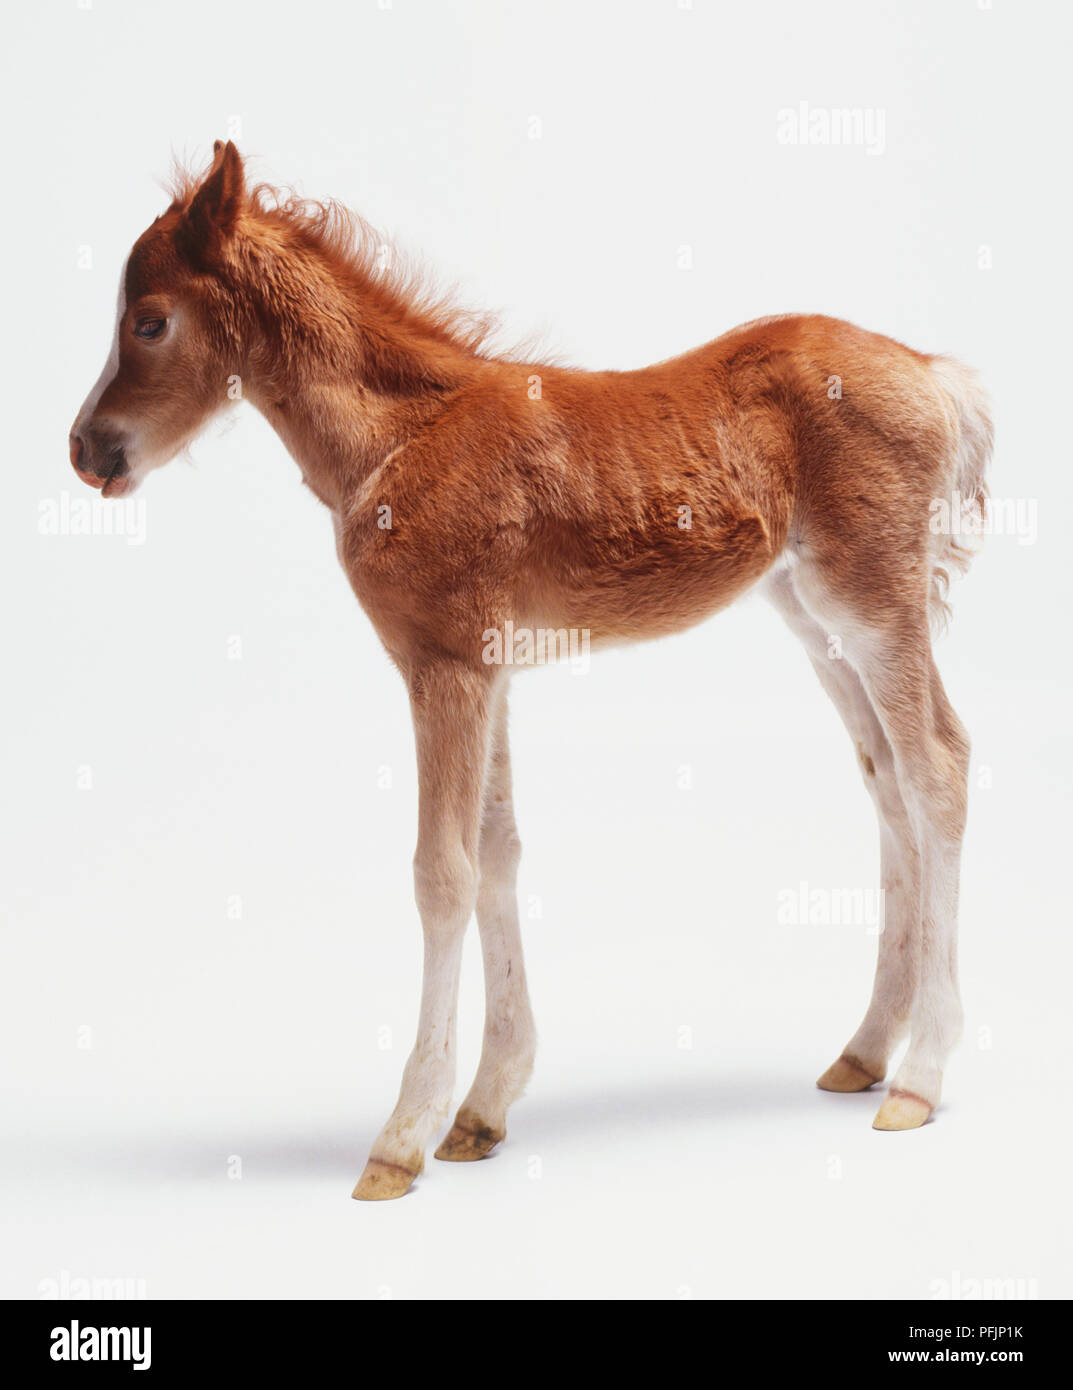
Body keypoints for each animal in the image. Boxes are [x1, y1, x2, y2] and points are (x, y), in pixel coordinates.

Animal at [70, 141, 992, 1200]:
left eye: (149, 320)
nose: (86, 450)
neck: (400, 438)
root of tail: (931, 373)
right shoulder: (491, 669)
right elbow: (499, 853)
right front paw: (483, 1107)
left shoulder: (442, 666)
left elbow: (442, 872)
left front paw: (401, 1137)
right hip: (815, 619)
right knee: (886, 783)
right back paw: (864, 1051)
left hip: (873, 602)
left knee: (937, 766)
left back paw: (919, 1077)